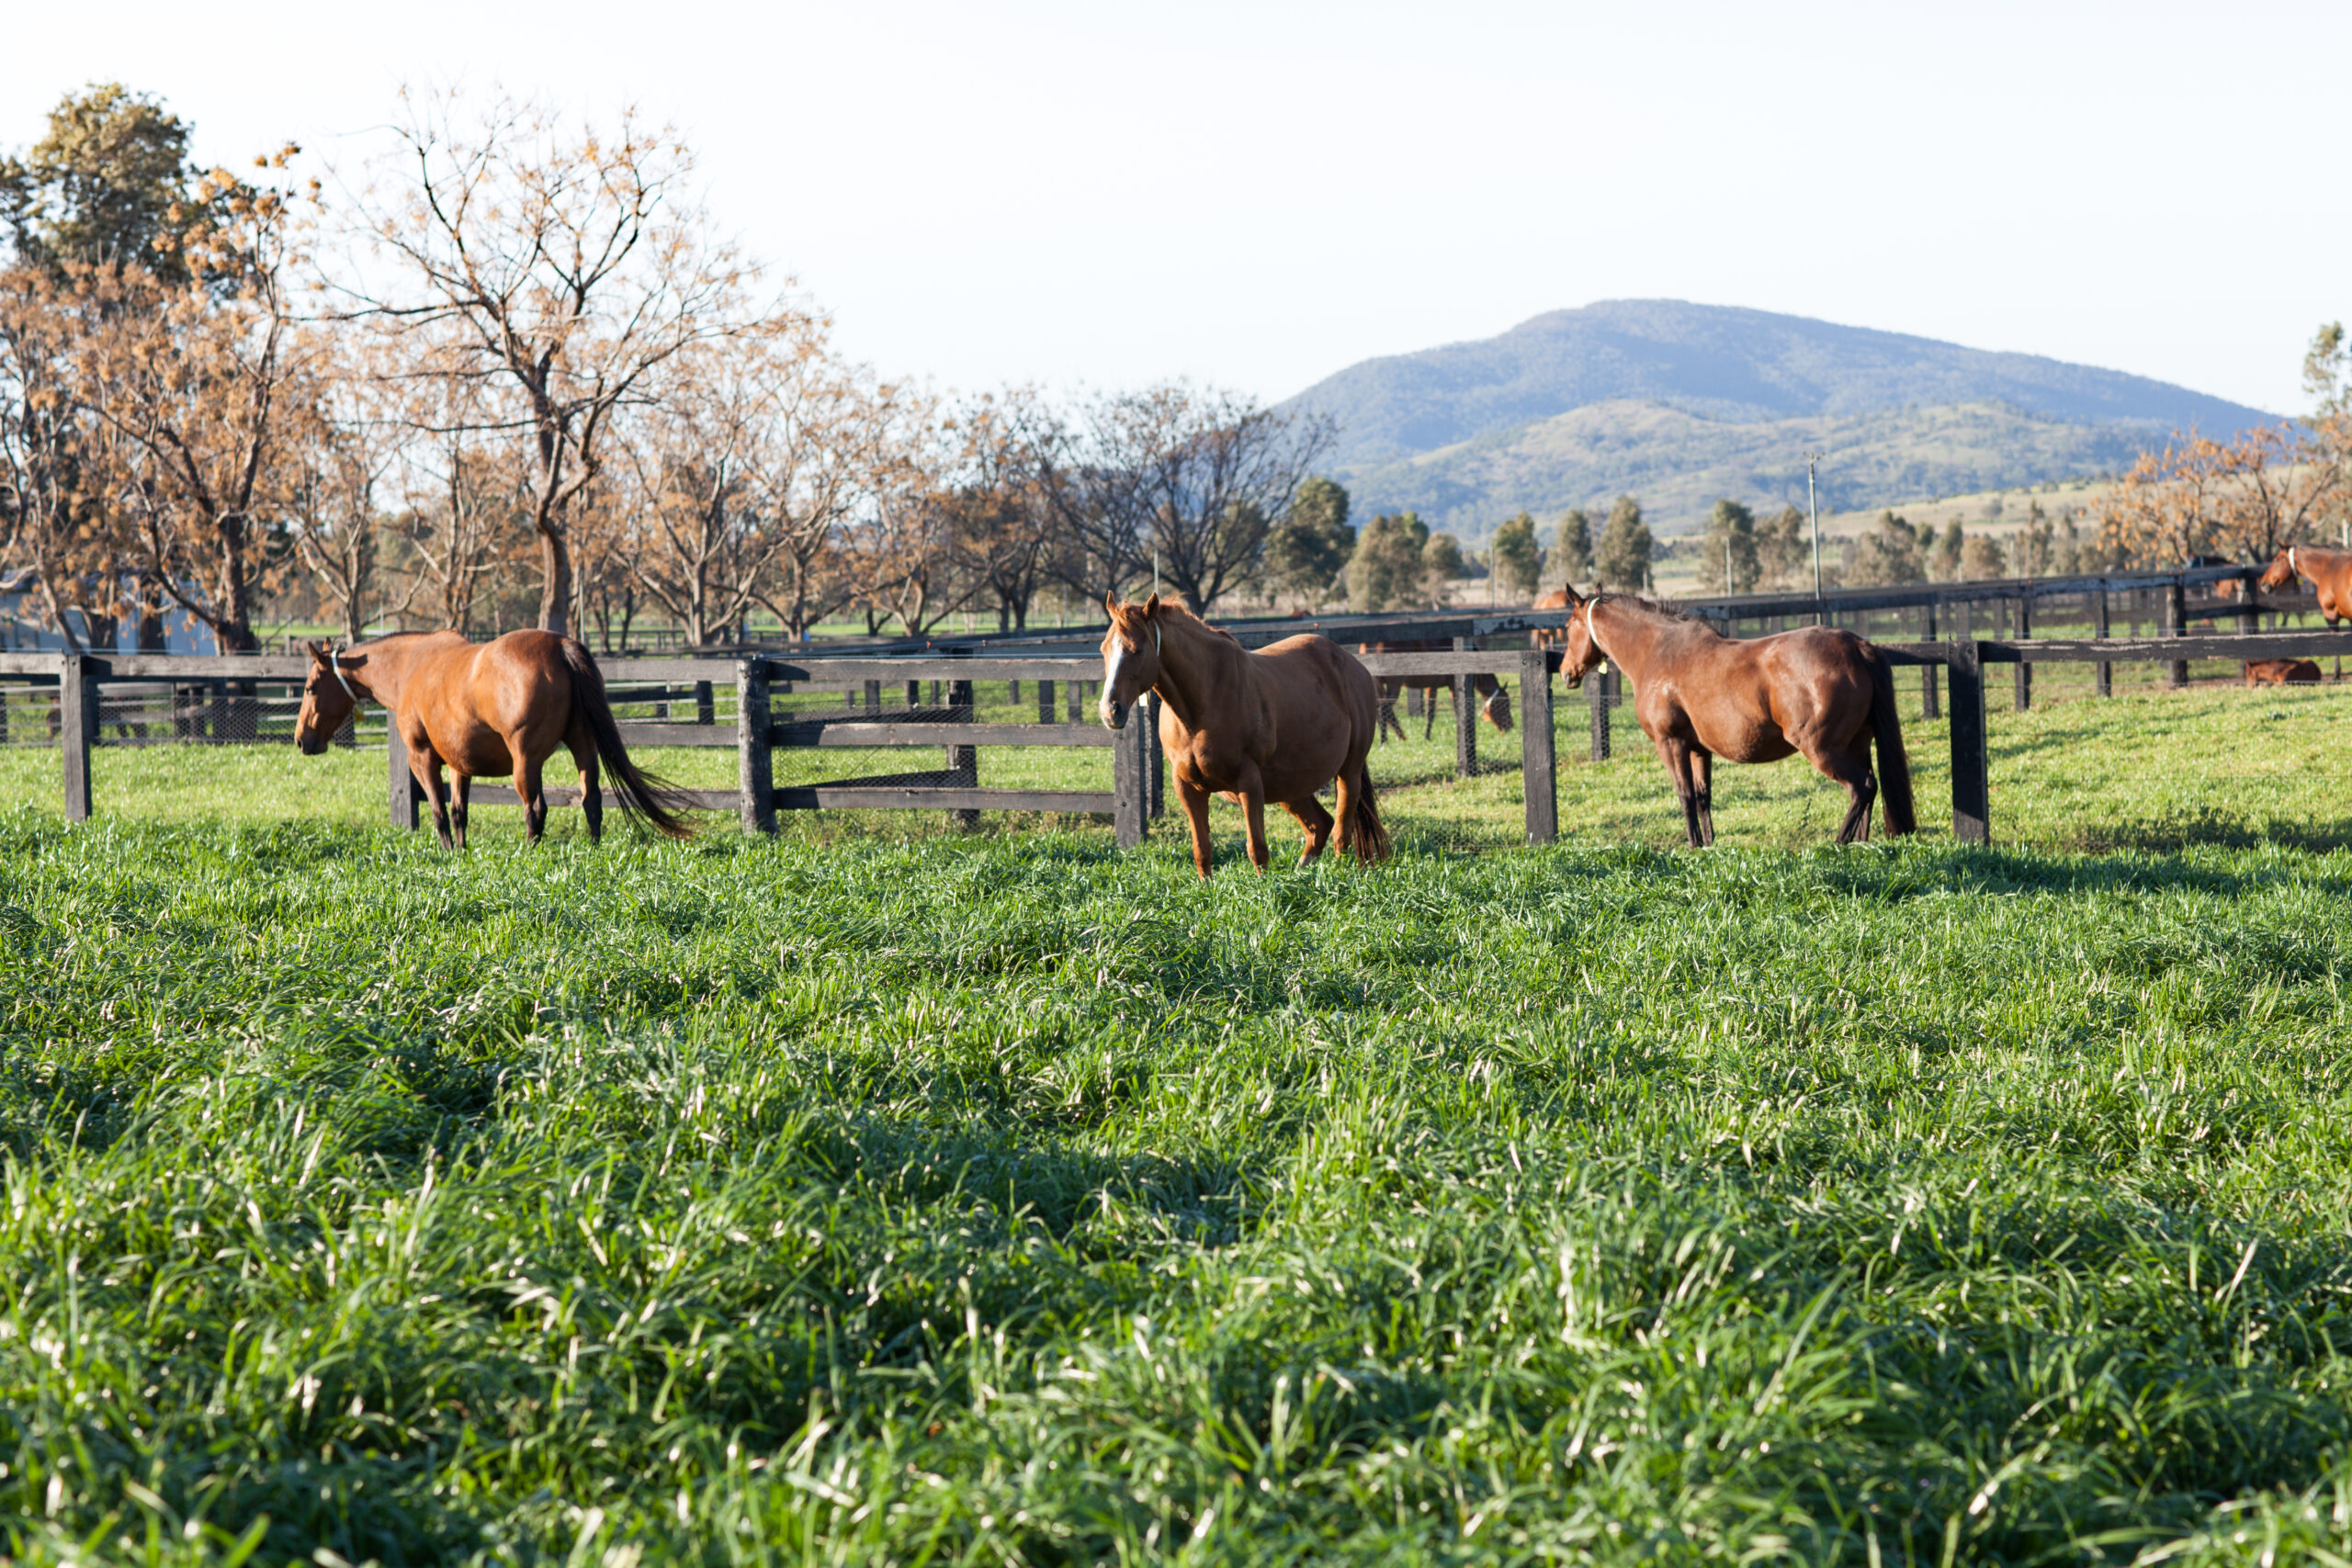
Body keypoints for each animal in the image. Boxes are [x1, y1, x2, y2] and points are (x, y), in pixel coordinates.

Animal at [293, 630, 692, 847]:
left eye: (311, 688)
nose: (301, 740)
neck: (411, 666)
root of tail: (560, 646)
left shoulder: (422, 757)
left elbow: (439, 812)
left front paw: (447, 853)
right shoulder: (460, 764)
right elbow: (459, 812)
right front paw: (462, 852)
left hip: (525, 762)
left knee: (535, 809)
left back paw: (530, 853)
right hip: (583, 746)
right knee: (591, 800)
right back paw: (593, 848)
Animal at [1099, 593, 1388, 877]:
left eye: (1138, 649)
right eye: (1104, 649)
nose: (1110, 710)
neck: (1201, 708)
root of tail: (1353, 665)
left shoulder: (1248, 781)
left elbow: (1257, 850)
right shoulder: (1187, 787)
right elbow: (1201, 850)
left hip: (1348, 772)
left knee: (1341, 833)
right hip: (1290, 786)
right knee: (1319, 826)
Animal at [1359, 638, 1511, 742]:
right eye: (1505, 704)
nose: (1510, 726)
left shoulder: (1432, 687)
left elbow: (1430, 714)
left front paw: (1427, 736)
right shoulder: (1453, 686)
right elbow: (1457, 710)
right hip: (1394, 685)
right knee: (1384, 708)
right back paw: (1384, 741)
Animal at [1553, 585, 1916, 847]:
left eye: (1568, 626)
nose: (1565, 672)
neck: (1659, 652)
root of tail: (1856, 647)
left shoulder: (1671, 744)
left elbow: (1685, 796)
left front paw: (1693, 846)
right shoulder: (1698, 749)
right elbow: (1703, 797)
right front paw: (1709, 846)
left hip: (1821, 748)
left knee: (1862, 787)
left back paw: (1838, 844)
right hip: (1856, 744)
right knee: (1870, 788)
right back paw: (1860, 844)